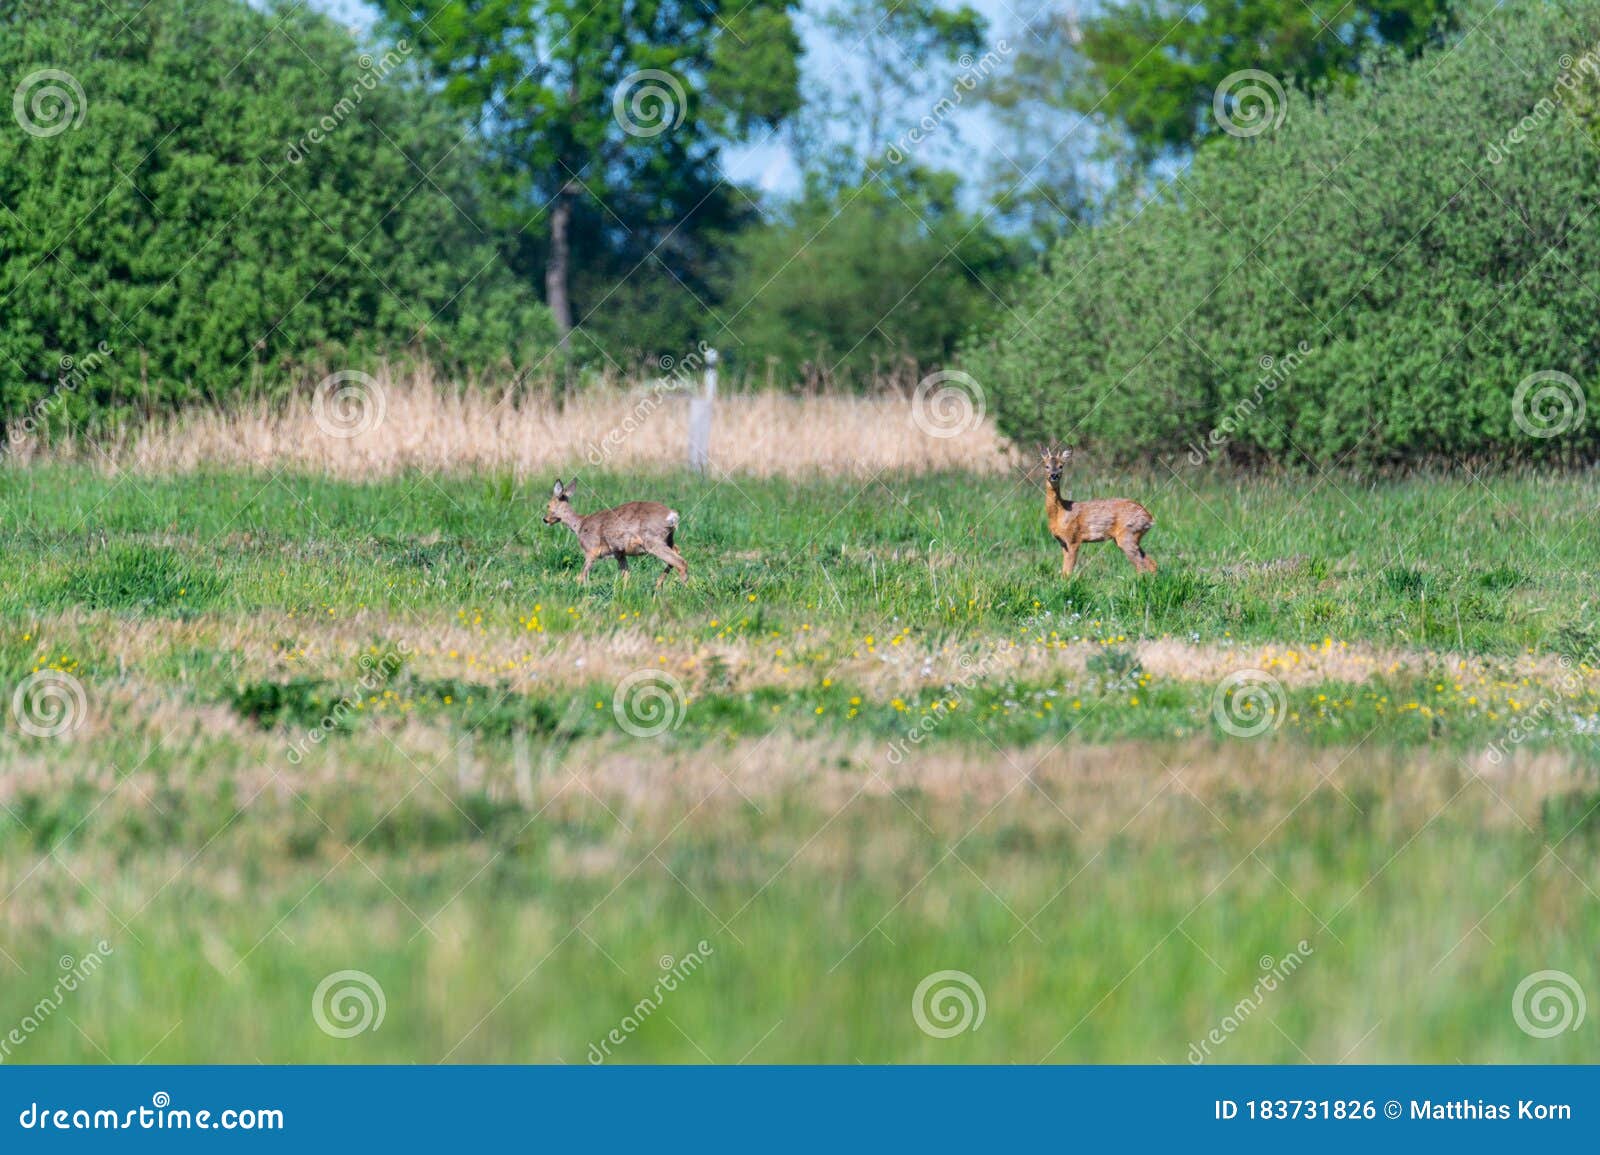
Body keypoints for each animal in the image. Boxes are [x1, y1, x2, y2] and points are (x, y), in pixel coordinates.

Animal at [543, 479, 689, 587]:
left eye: (548, 505)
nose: (545, 519)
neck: (580, 525)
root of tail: (672, 516)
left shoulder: (591, 550)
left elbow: (581, 576)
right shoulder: (619, 553)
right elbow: (626, 576)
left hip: (653, 541)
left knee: (680, 562)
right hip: (668, 539)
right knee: (677, 553)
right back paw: (658, 586)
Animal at [1038, 445, 1156, 576]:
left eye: (1061, 466)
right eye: (1046, 466)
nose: (1054, 475)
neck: (1060, 511)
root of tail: (1149, 517)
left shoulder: (1073, 539)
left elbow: (1068, 572)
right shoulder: (1063, 543)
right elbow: (1064, 571)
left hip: (1128, 534)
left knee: (1141, 567)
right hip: (1133, 536)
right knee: (1152, 564)